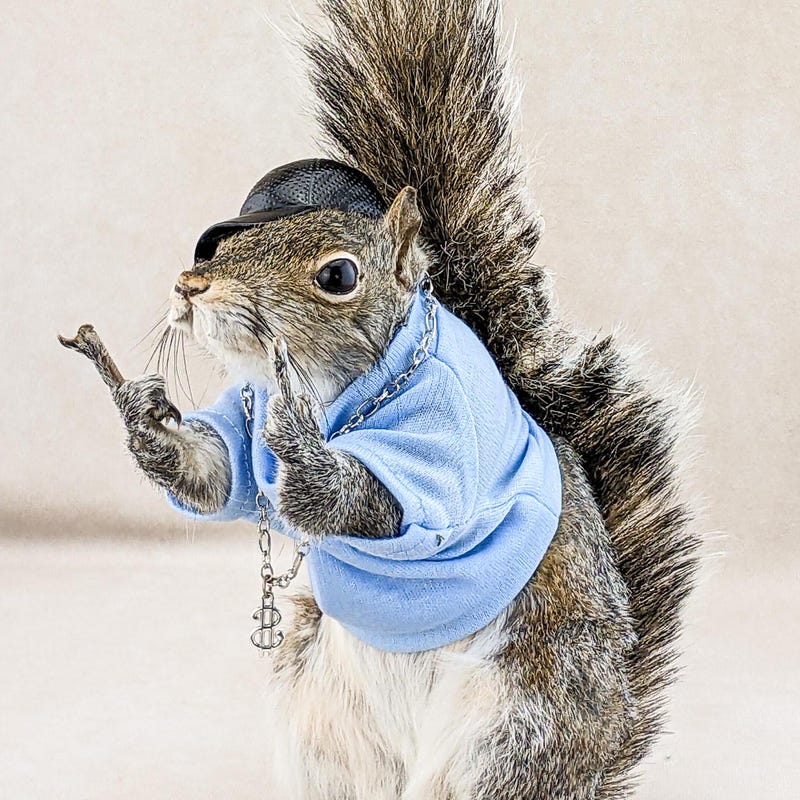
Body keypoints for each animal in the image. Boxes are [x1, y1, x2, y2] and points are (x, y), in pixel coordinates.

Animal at [63, 0, 699, 797]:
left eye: (338, 276)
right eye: (215, 246)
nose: (190, 284)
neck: (338, 388)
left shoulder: (441, 434)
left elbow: (380, 502)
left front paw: (300, 442)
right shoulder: (239, 421)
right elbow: (213, 477)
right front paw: (139, 410)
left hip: (518, 727)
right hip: (324, 737)